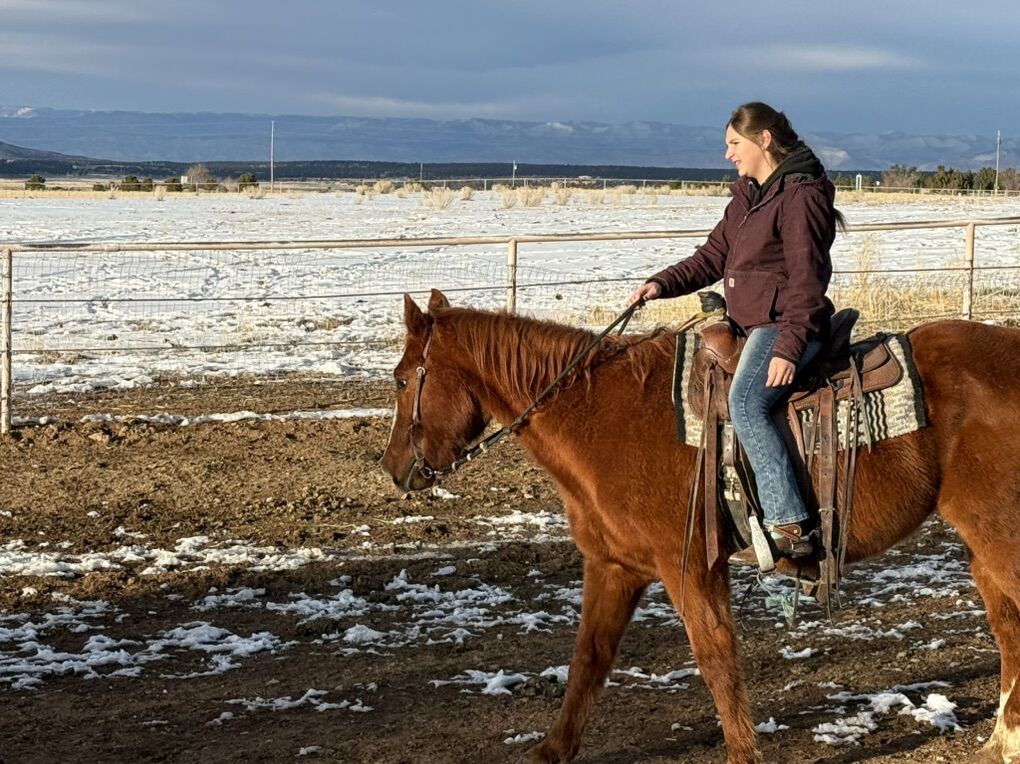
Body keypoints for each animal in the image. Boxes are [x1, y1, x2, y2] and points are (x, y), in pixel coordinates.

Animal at [380, 289, 1020, 764]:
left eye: (403, 378)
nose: (393, 469)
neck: (602, 418)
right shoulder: (613, 566)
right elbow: (588, 659)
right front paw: (551, 749)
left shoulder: (690, 565)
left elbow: (716, 662)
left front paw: (744, 755)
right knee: (1007, 626)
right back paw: (1000, 740)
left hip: (998, 534)